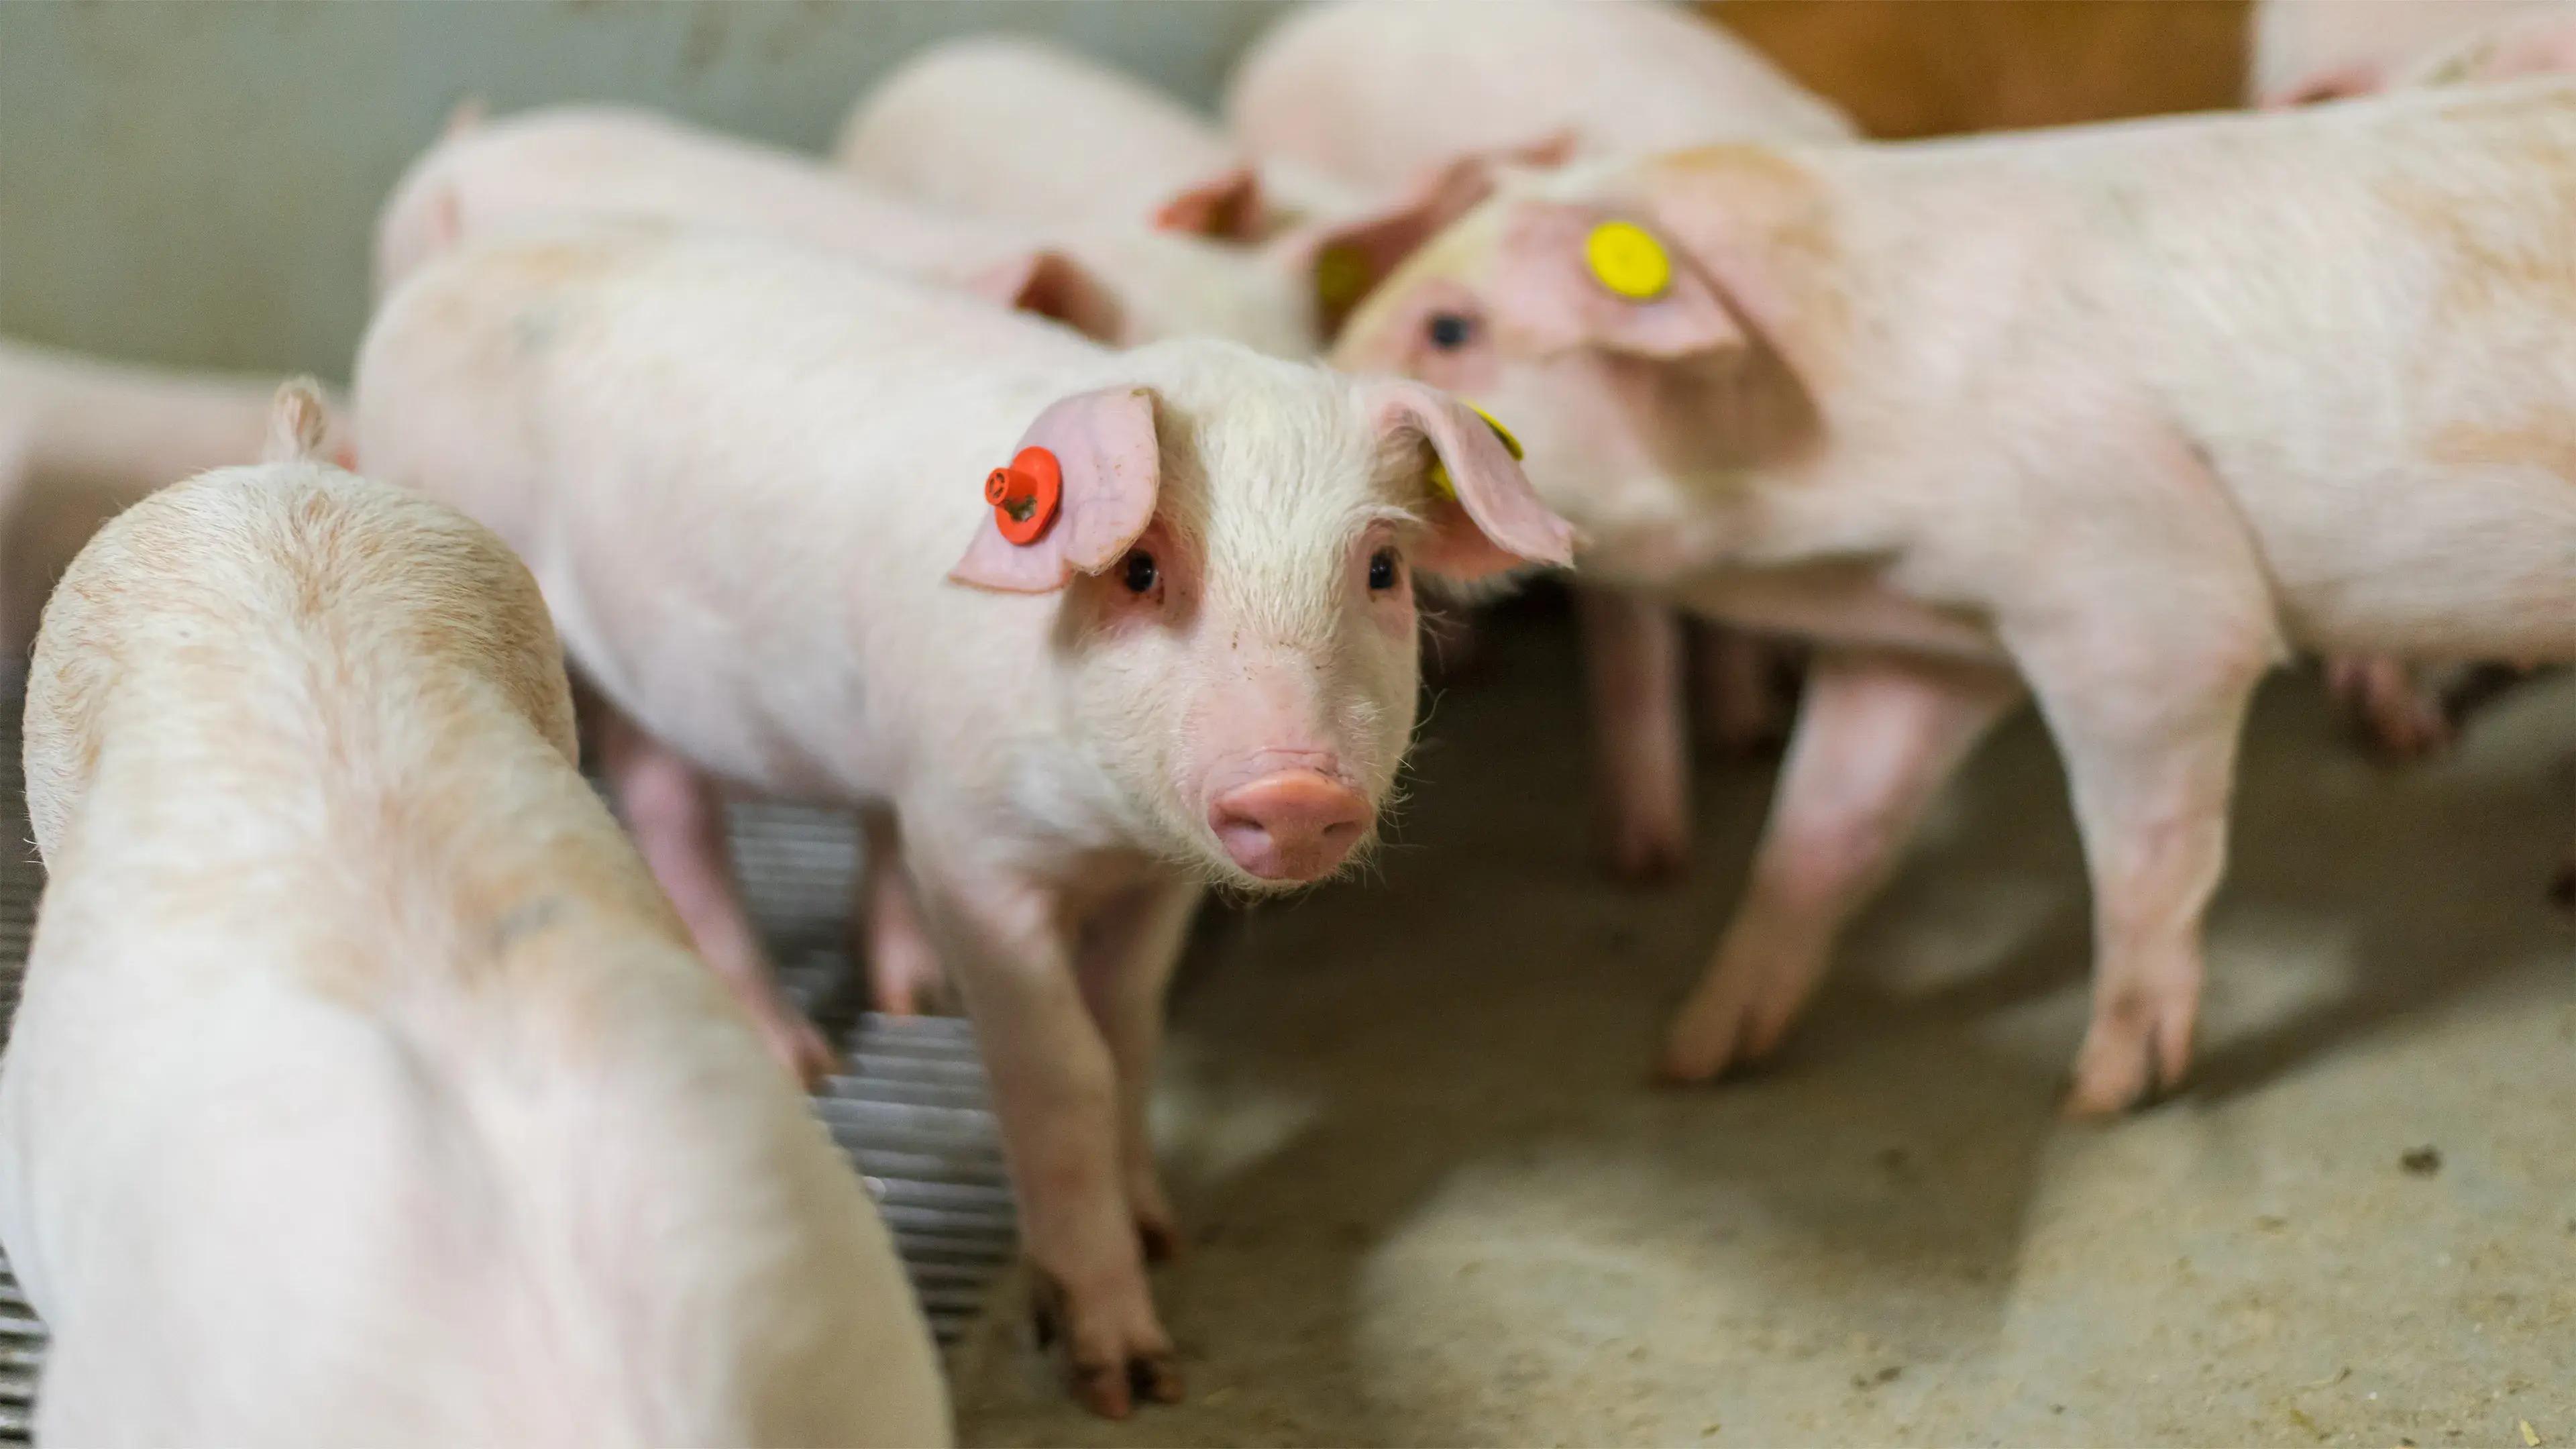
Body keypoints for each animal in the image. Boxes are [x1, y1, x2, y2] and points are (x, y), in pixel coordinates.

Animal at [353, 227, 1569, 1415]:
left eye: (1382, 568)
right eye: (1140, 568)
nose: (1298, 793)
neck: (1100, 825)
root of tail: (435, 285)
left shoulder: (1158, 879)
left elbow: (1130, 1031)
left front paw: (1163, 1234)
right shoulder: (968, 852)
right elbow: (1061, 1072)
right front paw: (1127, 1379)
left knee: (665, 796)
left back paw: (873, 1022)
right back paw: (807, 1070)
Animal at [1332, 78, 2576, 1115]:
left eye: (1452, 326)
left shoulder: (2137, 588)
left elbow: (2141, 842)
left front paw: (2101, 1095)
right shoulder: (1924, 647)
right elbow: (1818, 837)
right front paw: (1694, 1058)